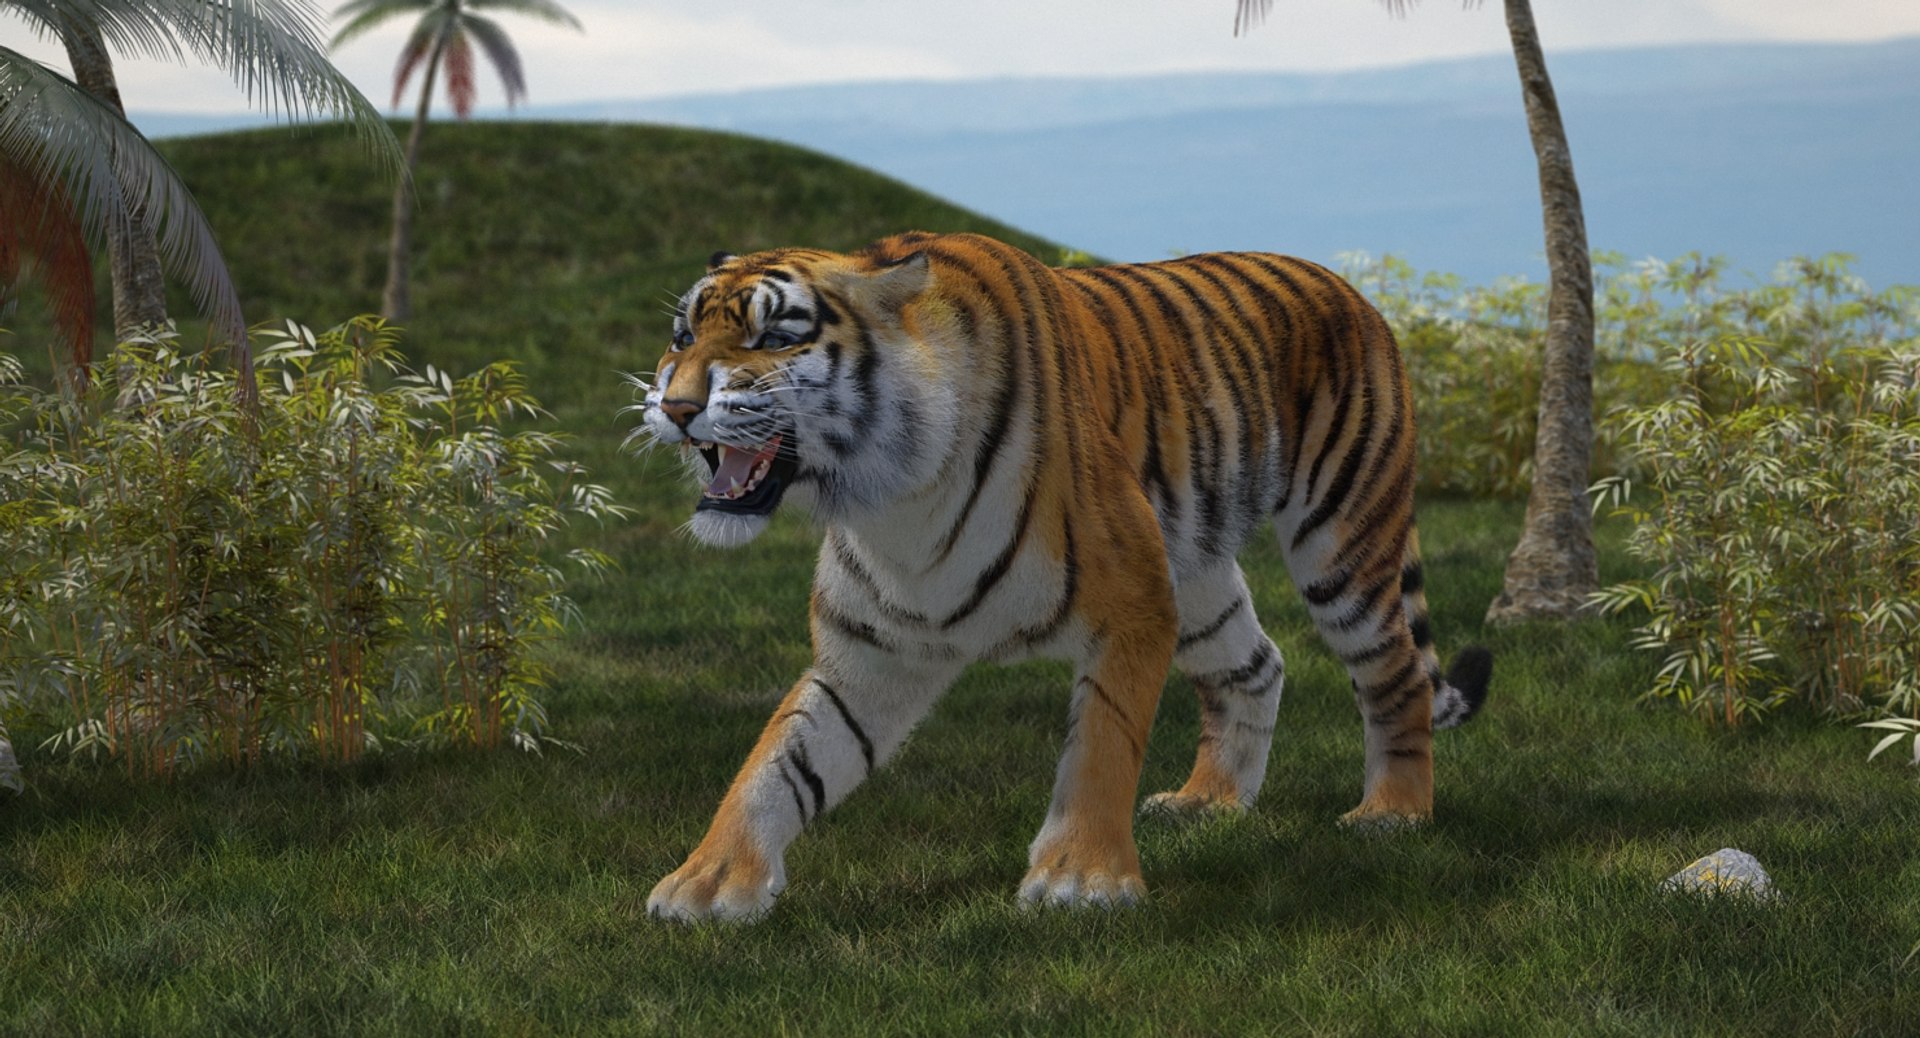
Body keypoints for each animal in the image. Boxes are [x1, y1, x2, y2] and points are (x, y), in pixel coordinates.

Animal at [633, 231, 1491, 923]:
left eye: (775, 336)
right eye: (681, 335)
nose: (674, 408)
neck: (891, 497)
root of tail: (1349, 286)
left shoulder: (1134, 609)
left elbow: (1099, 749)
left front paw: (1081, 881)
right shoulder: (868, 658)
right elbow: (778, 762)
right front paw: (708, 882)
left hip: (1341, 541)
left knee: (1395, 675)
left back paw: (1393, 813)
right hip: (1196, 572)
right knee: (1258, 664)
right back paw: (1208, 802)